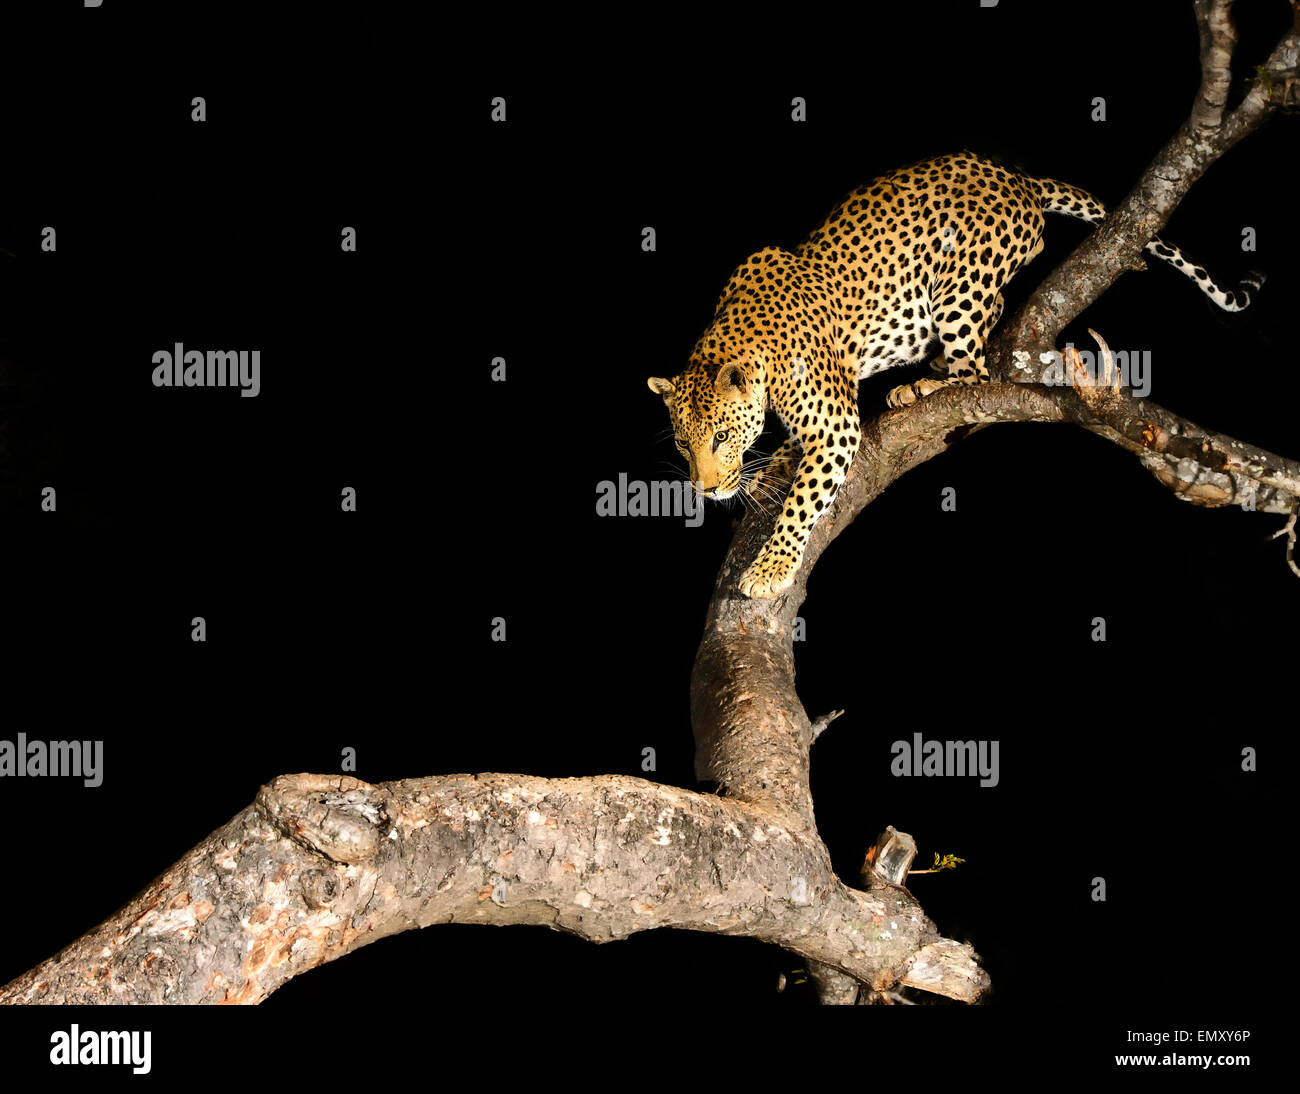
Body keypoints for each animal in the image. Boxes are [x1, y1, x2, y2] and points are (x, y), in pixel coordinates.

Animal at [648, 152, 1262, 599]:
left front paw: (770, 567)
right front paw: (771, 464)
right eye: (682, 444)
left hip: (961, 285)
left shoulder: (837, 425)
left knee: (978, 370)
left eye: (720, 437)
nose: (703, 490)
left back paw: (924, 384)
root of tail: (1017, 177)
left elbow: (802, 503)